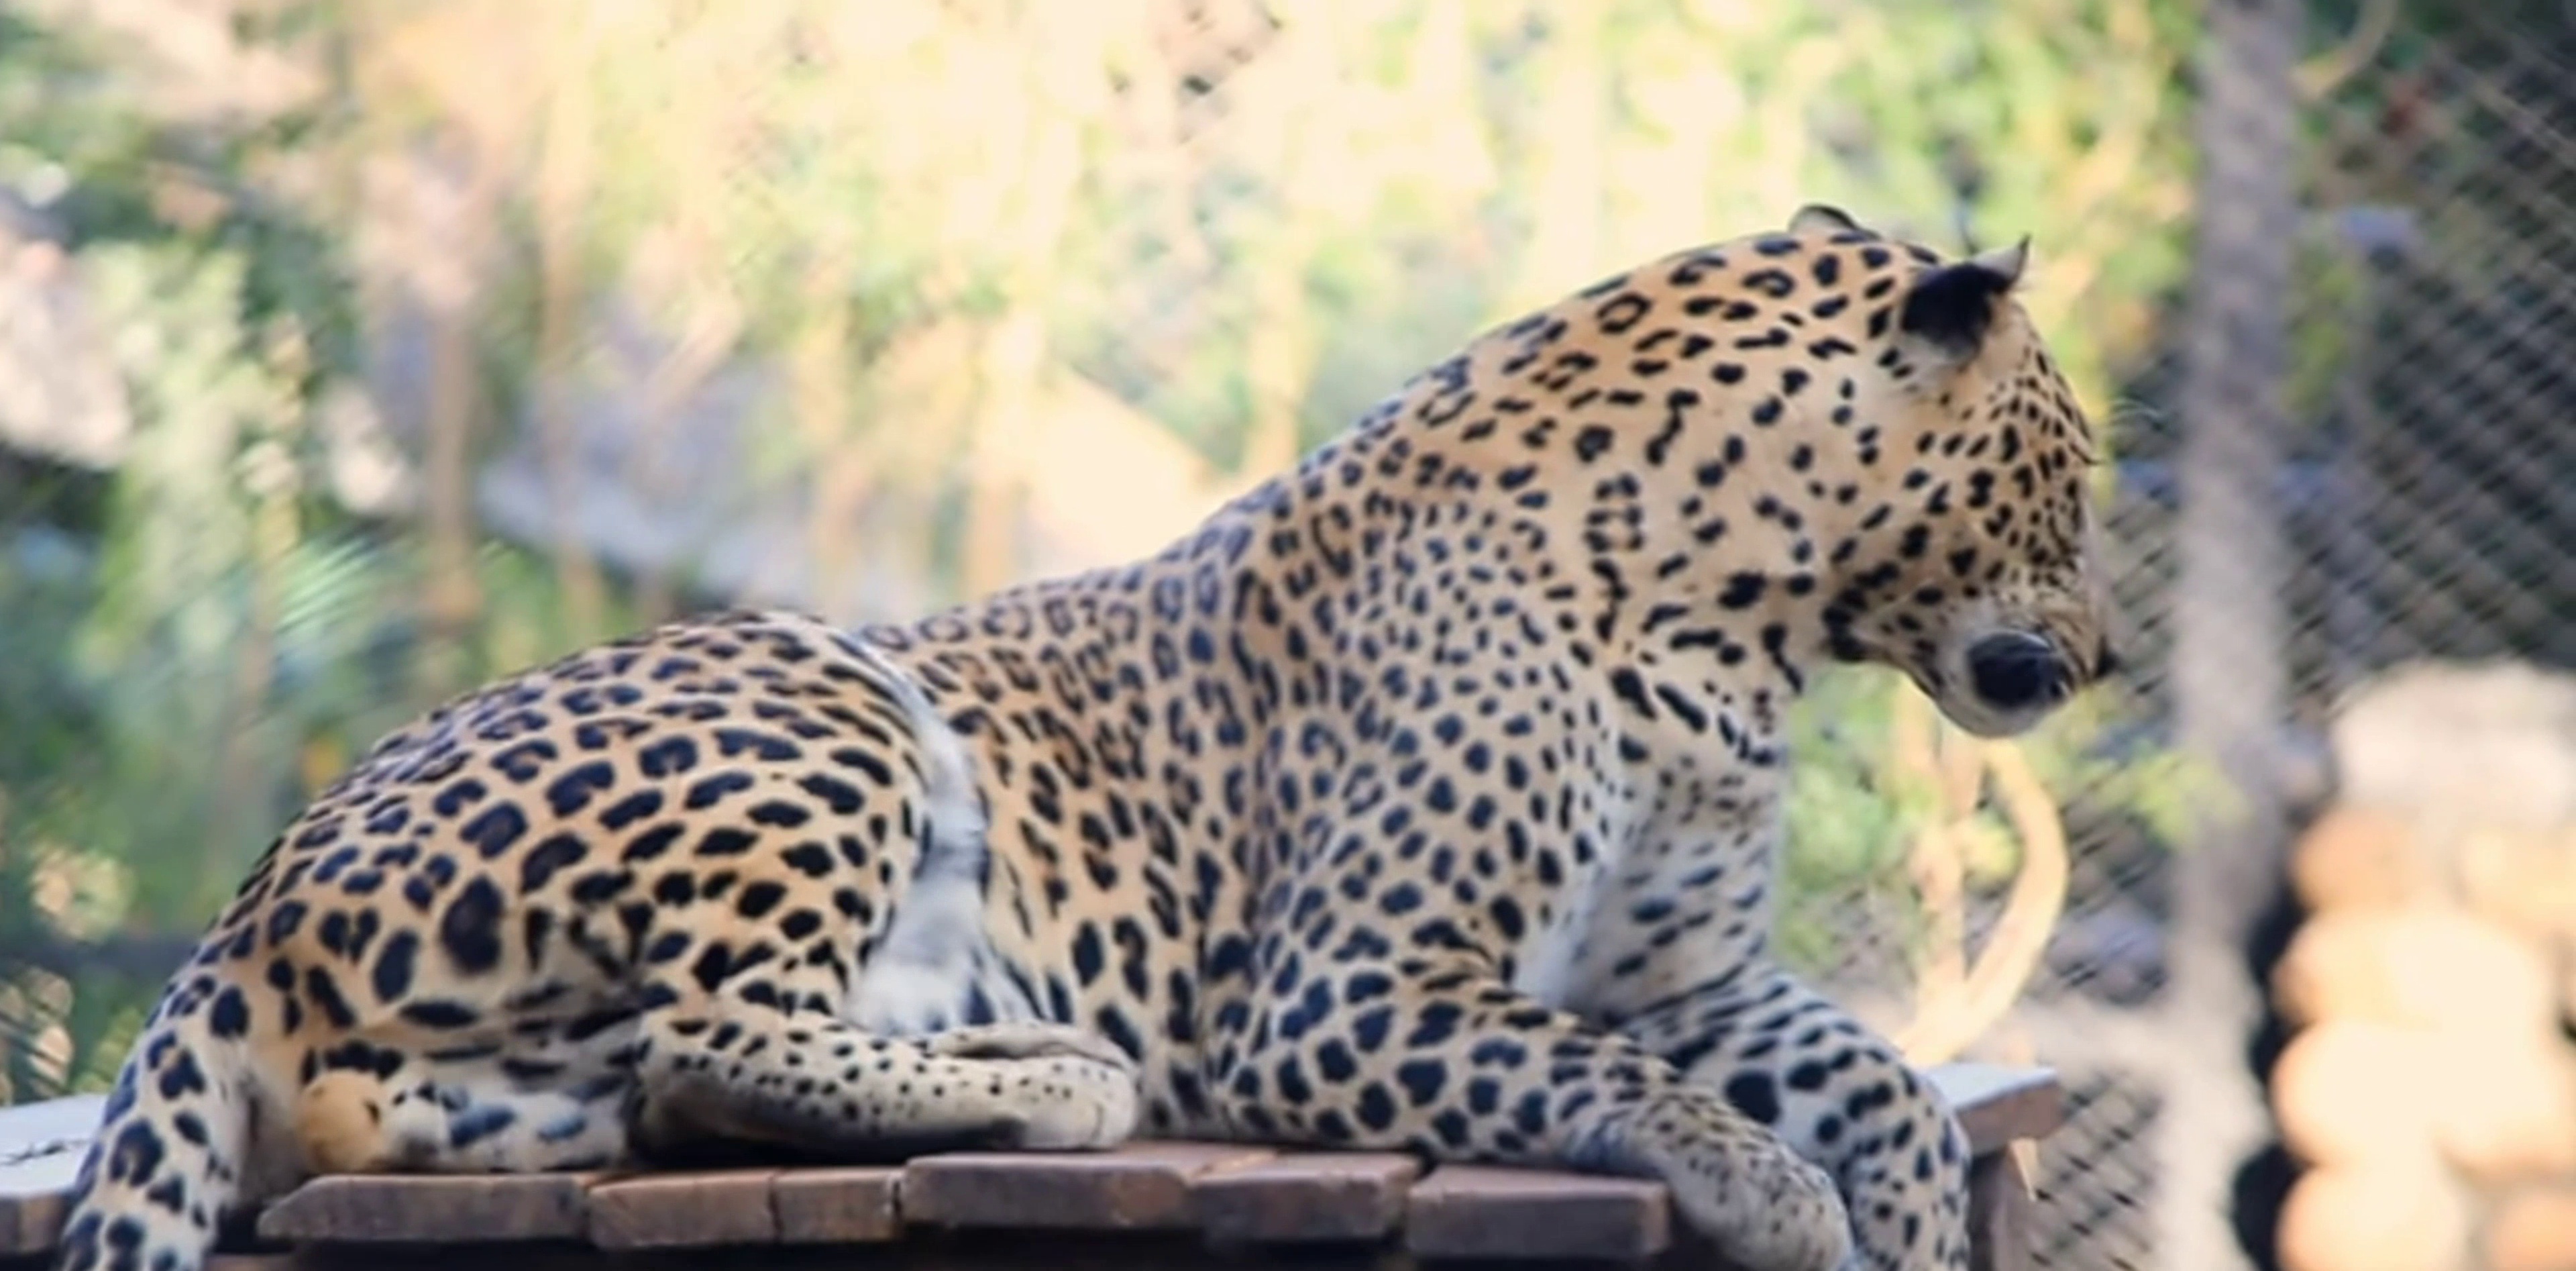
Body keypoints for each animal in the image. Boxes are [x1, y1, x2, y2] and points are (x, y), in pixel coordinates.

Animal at [52, 203, 2116, 1271]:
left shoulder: (1680, 969)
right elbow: (1618, 1075)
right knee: (712, 1021)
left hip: (512, 1044)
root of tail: (245, 898)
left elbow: (1881, 1076)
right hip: (826, 702)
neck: (1745, 624)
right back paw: (1059, 1079)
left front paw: (1909, 1215)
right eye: (2077, 476)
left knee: (589, 1078)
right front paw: (1769, 1189)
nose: (2099, 658)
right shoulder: (1351, 989)